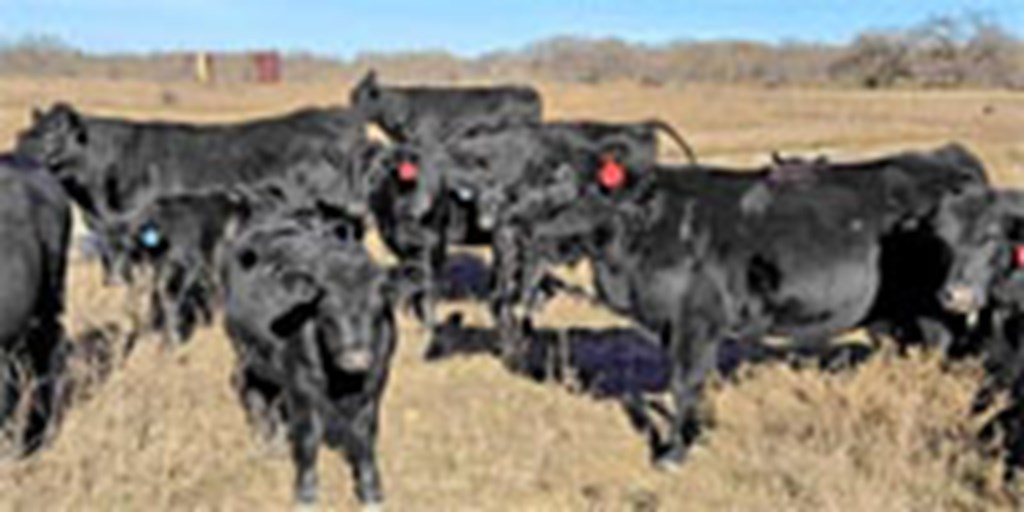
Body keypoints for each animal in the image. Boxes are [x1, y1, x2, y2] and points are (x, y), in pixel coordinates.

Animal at [221, 211, 397, 509]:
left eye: (377, 309)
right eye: (325, 312)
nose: (356, 358)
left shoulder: (376, 379)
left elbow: (366, 433)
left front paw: (371, 491)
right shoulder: (302, 385)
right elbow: (308, 436)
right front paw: (305, 493)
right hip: (244, 351)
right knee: (249, 388)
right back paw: (267, 441)